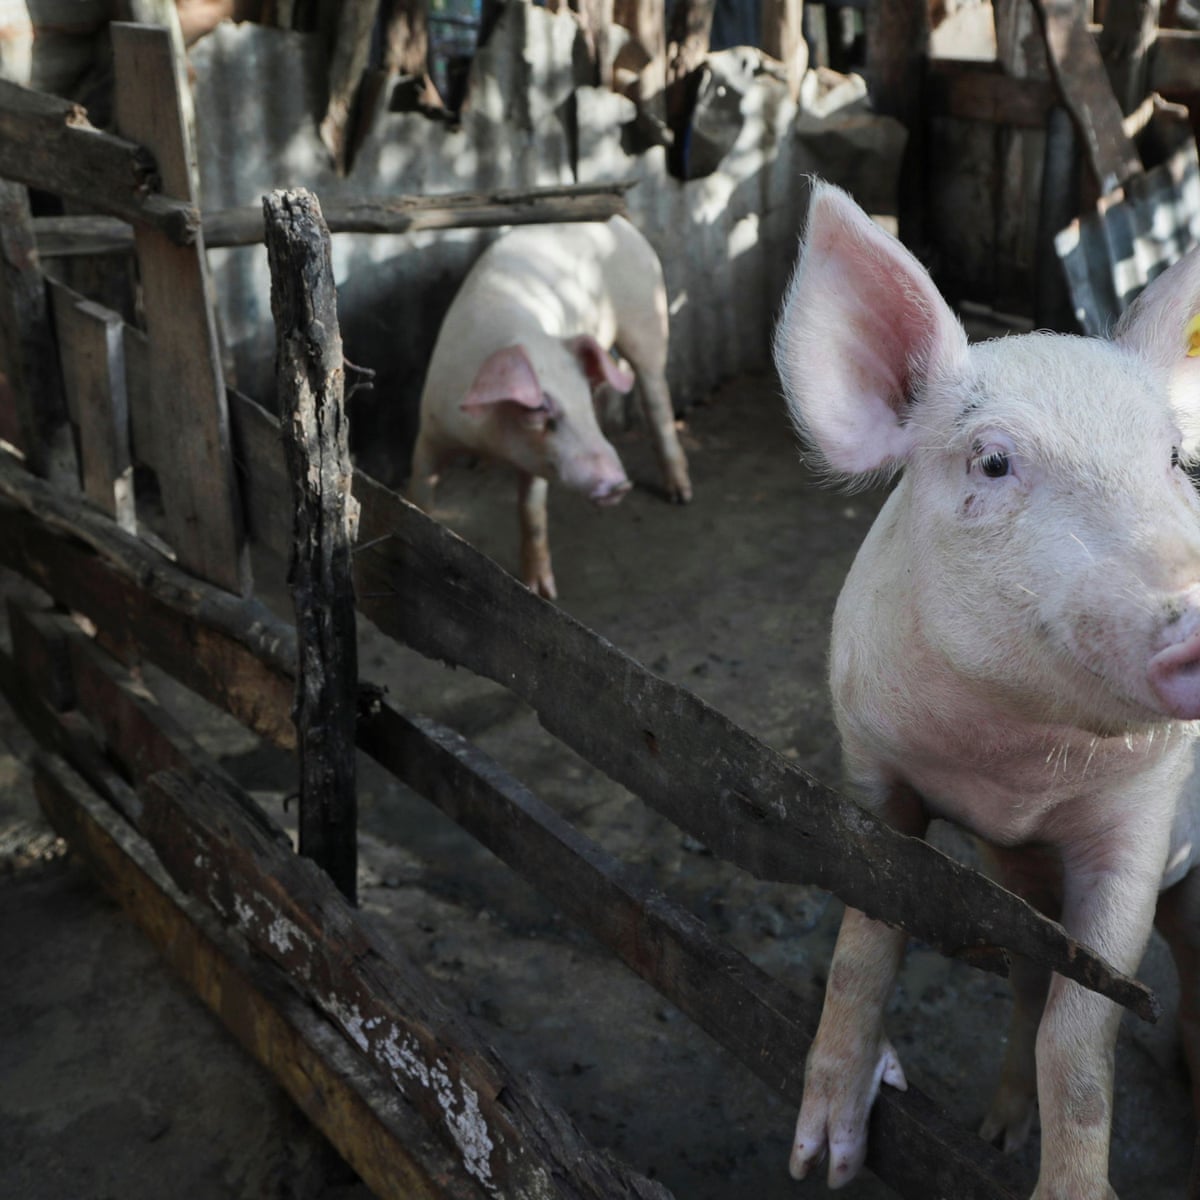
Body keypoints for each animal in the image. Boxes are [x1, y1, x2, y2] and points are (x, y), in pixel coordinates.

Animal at [408, 217, 693, 600]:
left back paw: (681, 496)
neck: (487, 439)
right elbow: (421, 490)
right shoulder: (431, 428)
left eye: (585, 400)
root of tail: (620, 222)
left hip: (649, 317)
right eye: (537, 408)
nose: (618, 485)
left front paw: (543, 593)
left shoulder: (539, 461)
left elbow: (531, 512)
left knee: (656, 396)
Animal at [773, 181, 1200, 1199]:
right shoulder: (874, 767)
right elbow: (865, 942)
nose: (1199, 611)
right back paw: (998, 1132)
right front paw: (823, 1160)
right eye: (994, 461)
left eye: (1174, 459)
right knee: (1025, 979)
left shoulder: (1143, 821)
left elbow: (1082, 1043)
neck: (1014, 773)